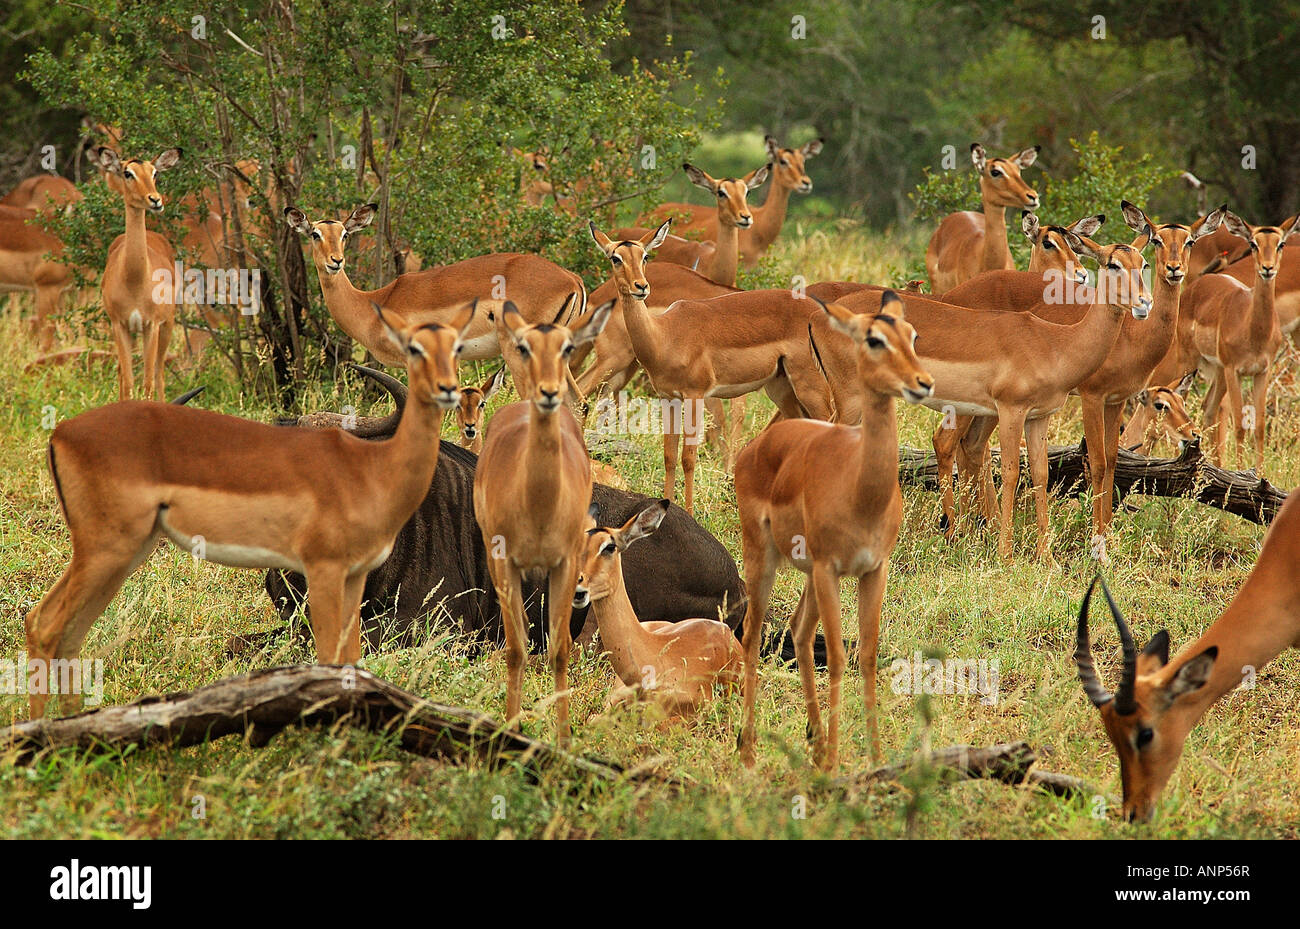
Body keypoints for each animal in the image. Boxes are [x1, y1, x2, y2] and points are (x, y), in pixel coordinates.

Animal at [89, 146, 183, 400]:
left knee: (159, 374)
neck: (134, 279)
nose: (155, 199)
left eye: (154, 173)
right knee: (123, 375)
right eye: (127, 173)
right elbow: (129, 382)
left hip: (167, 326)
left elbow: (148, 382)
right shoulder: (120, 325)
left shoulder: (151, 325)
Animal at [473, 301, 613, 743]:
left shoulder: (566, 565)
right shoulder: (504, 563)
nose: (549, 392)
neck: (537, 505)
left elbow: (560, 648)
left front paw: (565, 739)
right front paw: (512, 728)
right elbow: (517, 648)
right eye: (524, 346)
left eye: (568, 347)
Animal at [586, 222, 837, 515]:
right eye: (615, 258)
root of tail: (816, 311)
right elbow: (669, 456)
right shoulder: (668, 398)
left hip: (809, 385)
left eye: (645, 256)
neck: (665, 335)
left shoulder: (695, 396)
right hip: (781, 389)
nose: (641, 287)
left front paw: (690, 511)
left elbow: (688, 458)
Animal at [736, 292, 933, 769]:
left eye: (913, 334)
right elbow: (841, 656)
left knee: (798, 631)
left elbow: (868, 654)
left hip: (807, 575)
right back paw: (749, 751)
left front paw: (875, 759)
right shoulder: (830, 569)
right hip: (764, 559)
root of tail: (752, 449)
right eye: (873, 339)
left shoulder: (873, 570)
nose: (922, 383)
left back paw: (814, 741)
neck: (860, 490)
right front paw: (836, 763)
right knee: (753, 635)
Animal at [1175, 211, 1299, 472]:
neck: (1252, 330)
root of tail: (1197, 284)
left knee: (1209, 408)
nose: (1267, 268)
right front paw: (1242, 472)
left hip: (1218, 371)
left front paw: (1259, 474)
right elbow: (1241, 425)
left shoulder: (1262, 371)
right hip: (1188, 363)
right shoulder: (1235, 371)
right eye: (1253, 244)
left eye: (1280, 244)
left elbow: (1259, 427)